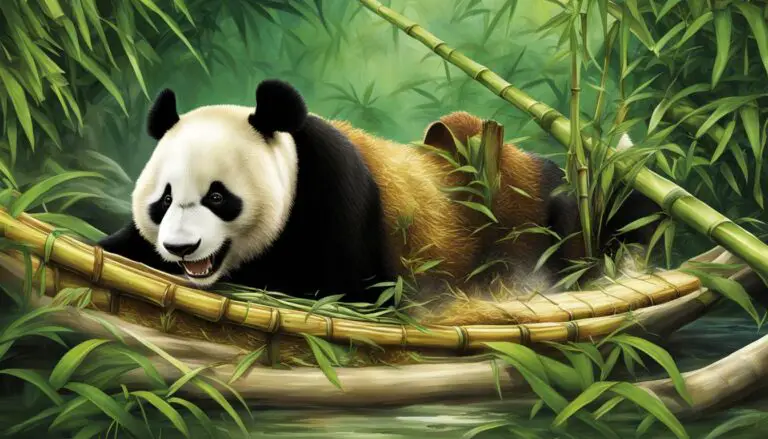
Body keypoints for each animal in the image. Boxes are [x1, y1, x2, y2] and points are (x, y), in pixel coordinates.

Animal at [99, 78, 659, 302]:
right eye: (163, 200)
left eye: (218, 197)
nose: (181, 248)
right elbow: (123, 244)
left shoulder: (336, 197)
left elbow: (341, 287)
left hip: (530, 219)